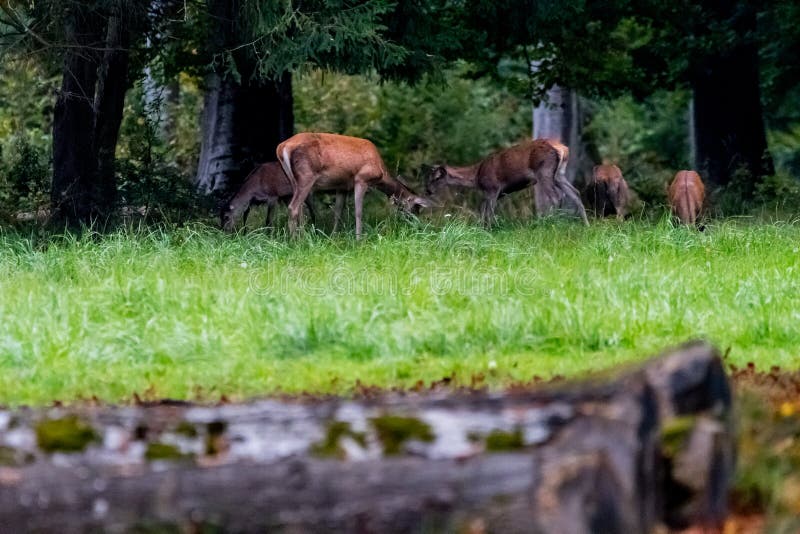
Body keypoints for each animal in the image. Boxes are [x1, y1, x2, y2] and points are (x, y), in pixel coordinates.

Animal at [277, 132, 433, 238]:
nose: (417, 227)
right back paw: (297, 241)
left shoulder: (342, 186)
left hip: (293, 180)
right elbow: (358, 212)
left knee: (299, 208)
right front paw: (359, 240)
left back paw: (303, 237)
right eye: (416, 208)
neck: (381, 172)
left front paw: (333, 237)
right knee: (293, 207)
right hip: (306, 176)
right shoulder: (361, 178)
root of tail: (282, 147)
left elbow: (338, 213)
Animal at [425, 139, 588, 226]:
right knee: (575, 193)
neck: (477, 176)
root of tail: (561, 148)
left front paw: (489, 230)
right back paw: (585, 225)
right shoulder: (498, 193)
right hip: (559, 174)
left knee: (556, 197)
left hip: (544, 171)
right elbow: (483, 209)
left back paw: (552, 222)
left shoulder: (493, 188)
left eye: (436, 178)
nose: (427, 191)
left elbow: (488, 211)